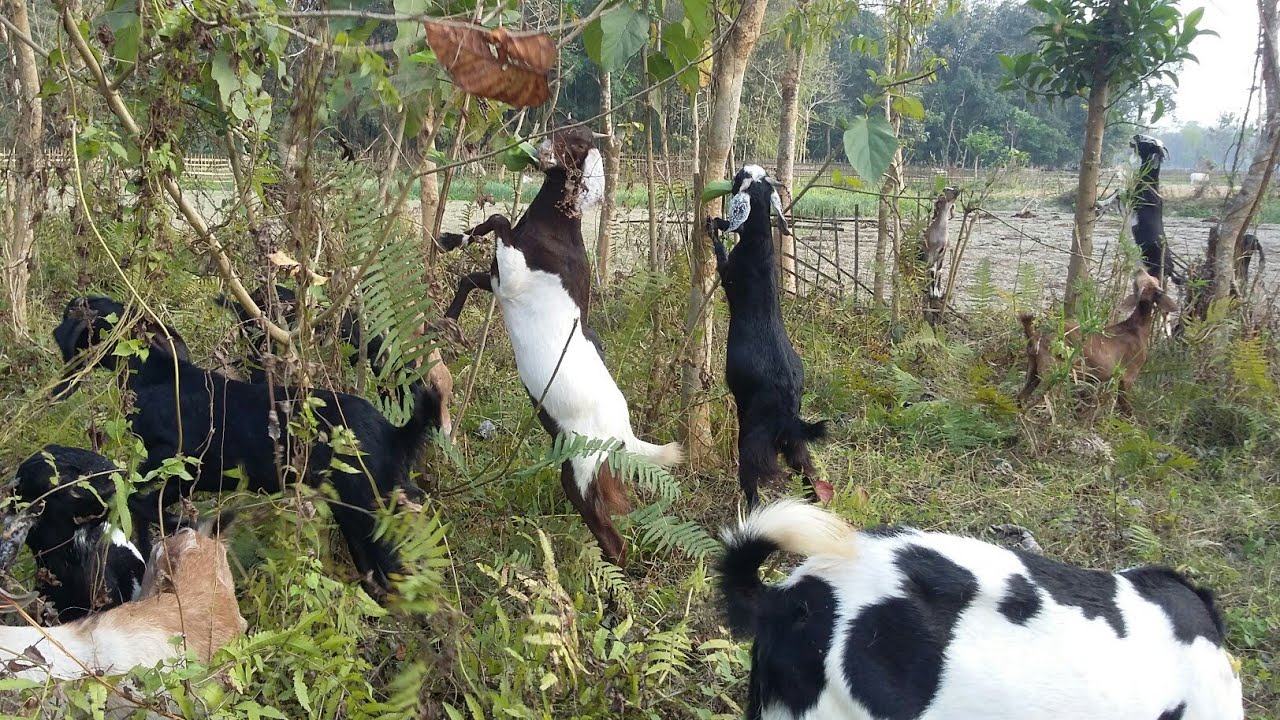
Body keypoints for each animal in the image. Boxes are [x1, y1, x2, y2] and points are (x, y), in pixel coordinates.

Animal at [51, 296, 444, 596]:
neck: (157, 376)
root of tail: (395, 434)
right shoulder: (182, 479)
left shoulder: (175, 463)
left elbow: (138, 499)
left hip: (370, 518)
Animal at [437, 125, 683, 565]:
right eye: (561, 129)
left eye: (577, 143)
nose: (540, 148)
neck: (557, 228)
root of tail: (624, 433)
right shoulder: (497, 281)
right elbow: (469, 272)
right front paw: (452, 243)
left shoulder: (512, 279)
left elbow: (499, 219)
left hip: (580, 473)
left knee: (614, 542)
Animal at [706, 165, 830, 507]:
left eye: (740, 177)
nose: (735, 173)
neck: (760, 243)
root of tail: (787, 407)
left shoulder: (729, 276)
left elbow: (721, 257)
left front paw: (713, 228)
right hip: (793, 443)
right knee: (807, 471)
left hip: (752, 440)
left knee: (753, 480)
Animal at [920, 186, 961, 326]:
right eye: (946, 189)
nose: (957, 189)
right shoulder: (930, 252)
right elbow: (932, 270)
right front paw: (932, 292)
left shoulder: (942, 253)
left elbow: (939, 271)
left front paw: (938, 291)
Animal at [1017, 268, 1178, 413]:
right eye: (1149, 280)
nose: (1139, 269)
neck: (1136, 329)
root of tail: (1035, 338)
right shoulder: (1128, 375)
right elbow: (1127, 409)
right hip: (1051, 371)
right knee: (1041, 402)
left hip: (1033, 369)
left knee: (1020, 398)